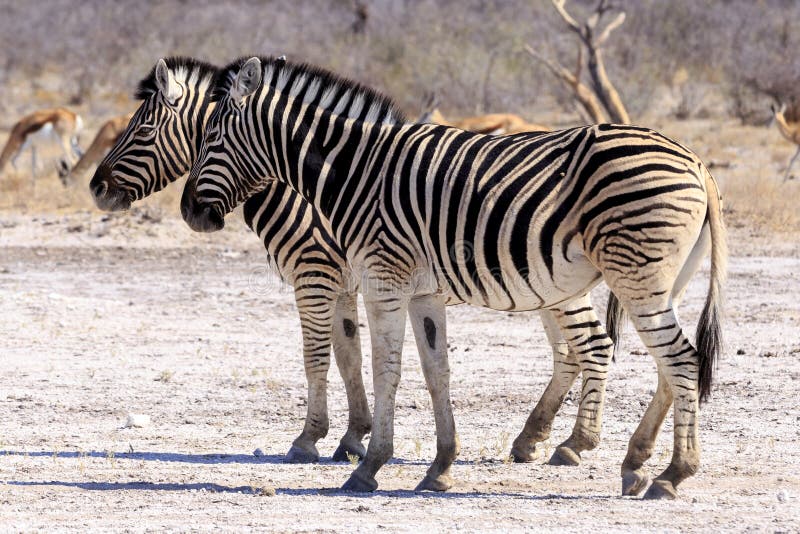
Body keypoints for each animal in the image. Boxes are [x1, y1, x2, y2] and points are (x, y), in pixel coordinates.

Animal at [89, 57, 603, 467]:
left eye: (142, 131)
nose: (95, 189)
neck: (302, 186)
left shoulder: (314, 275)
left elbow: (316, 356)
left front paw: (308, 440)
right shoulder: (340, 283)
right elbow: (348, 356)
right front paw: (354, 437)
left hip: (559, 286)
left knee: (591, 345)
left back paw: (572, 444)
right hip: (544, 287)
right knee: (567, 352)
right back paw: (531, 438)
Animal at [182, 56, 726, 500]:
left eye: (210, 140)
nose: (190, 213)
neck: (355, 173)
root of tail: (696, 159)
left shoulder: (381, 280)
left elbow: (385, 369)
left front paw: (368, 466)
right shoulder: (424, 292)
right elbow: (435, 372)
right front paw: (440, 467)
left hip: (635, 273)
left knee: (679, 359)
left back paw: (671, 474)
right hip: (660, 279)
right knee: (666, 364)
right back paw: (634, 464)